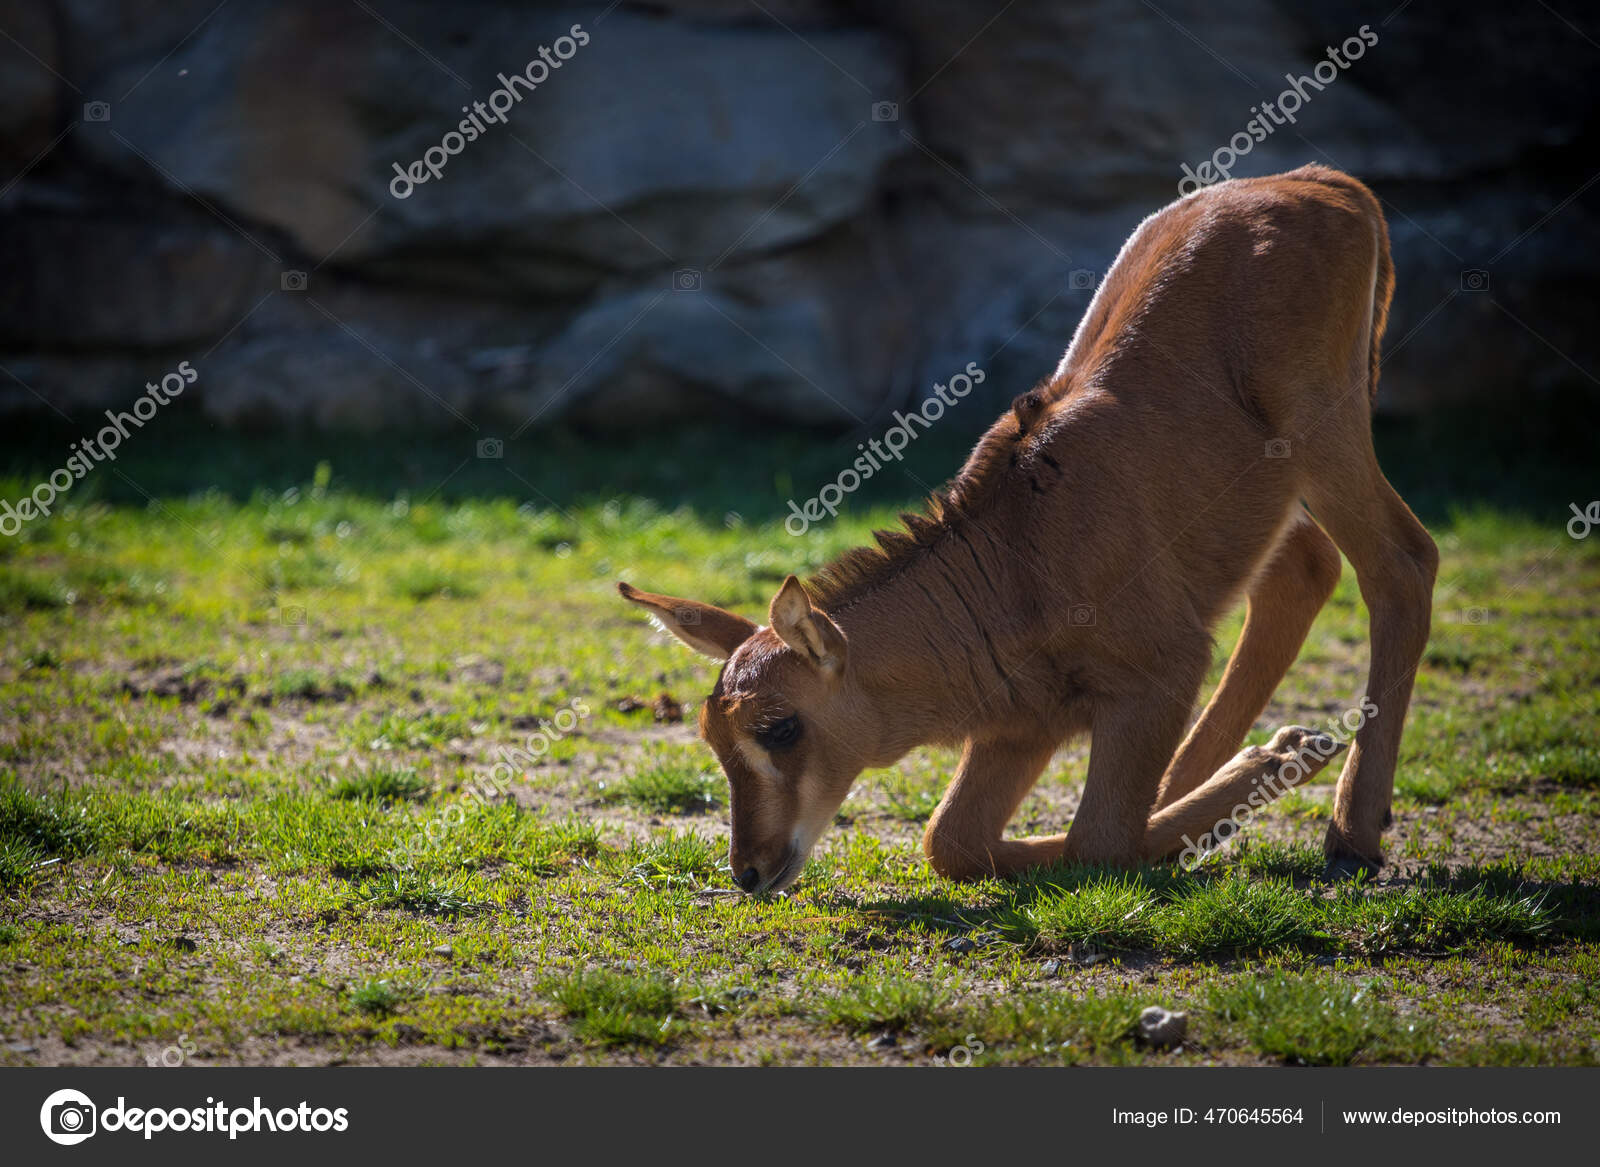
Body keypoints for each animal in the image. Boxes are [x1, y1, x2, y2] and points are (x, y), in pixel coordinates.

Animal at [619, 164, 1437, 895]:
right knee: (1305, 566)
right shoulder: (1027, 722)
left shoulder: (1162, 669)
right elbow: (951, 840)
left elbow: (1095, 841)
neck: (1020, 554)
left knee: (1401, 560)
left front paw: (1283, 756)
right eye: (711, 735)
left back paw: (1349, 832)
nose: (750, 872)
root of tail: (1329, 184)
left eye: (780, 727)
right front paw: (1259, 769)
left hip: (1323, 427)